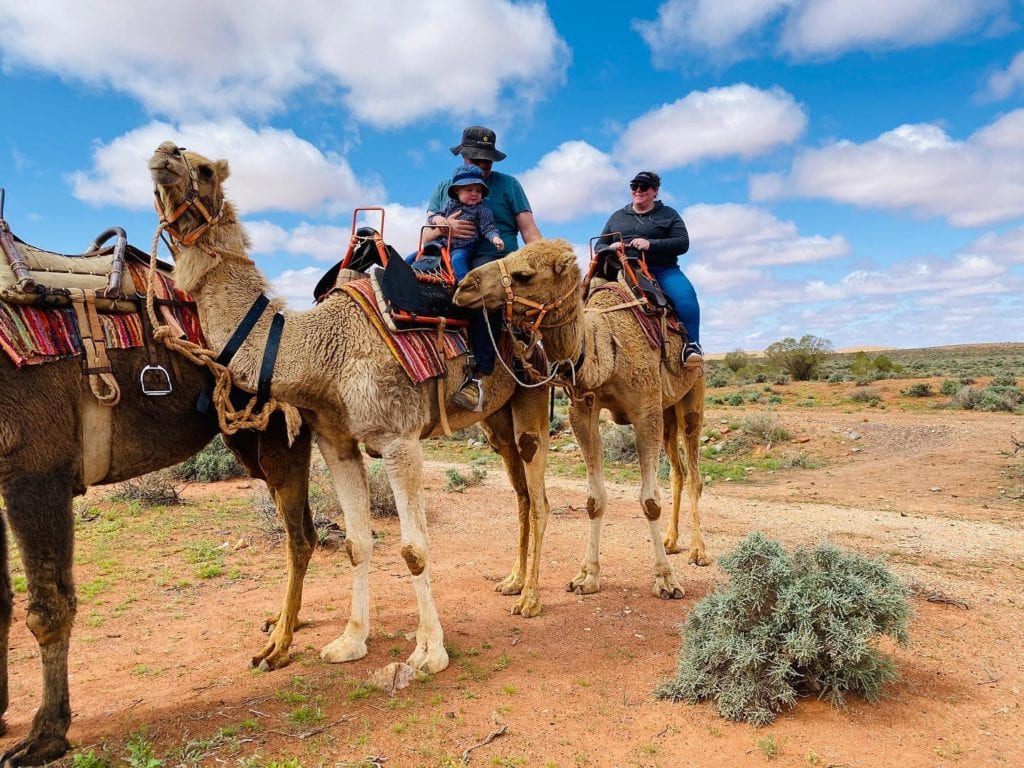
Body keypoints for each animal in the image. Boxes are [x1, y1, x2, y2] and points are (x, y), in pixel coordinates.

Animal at [0, 283, 315, 762]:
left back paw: (276, 649)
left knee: (299, 538)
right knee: (305, 531)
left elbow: (47, 609)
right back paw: (283, 621)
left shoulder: (36, 466)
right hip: (250, 439)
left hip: (279, 433)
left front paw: (44, 737)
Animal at [148, 142, 555, 675]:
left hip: (534, 393)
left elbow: (414, 549)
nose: (163, 155)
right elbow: (356, 543)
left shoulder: (400, 440)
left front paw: (430, 652)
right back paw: (512, 581)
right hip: (495, 418)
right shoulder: (336, 442)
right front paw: (350, 640)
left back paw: (531, 599)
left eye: (205, 169)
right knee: (521, 493)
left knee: (539, 491)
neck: (322, 349)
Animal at [454, 238, 709, 600]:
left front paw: (666, 580)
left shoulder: (645, 411)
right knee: (678, 470)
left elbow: (649, 501)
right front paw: (586, 577)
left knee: (694, 472)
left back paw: (699, 552)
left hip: (692, 394)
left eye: (523, 275)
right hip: (667, 410)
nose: (464, 287)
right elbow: (594, 500)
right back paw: (672, 541)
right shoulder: (583, 411)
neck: (607, 350)